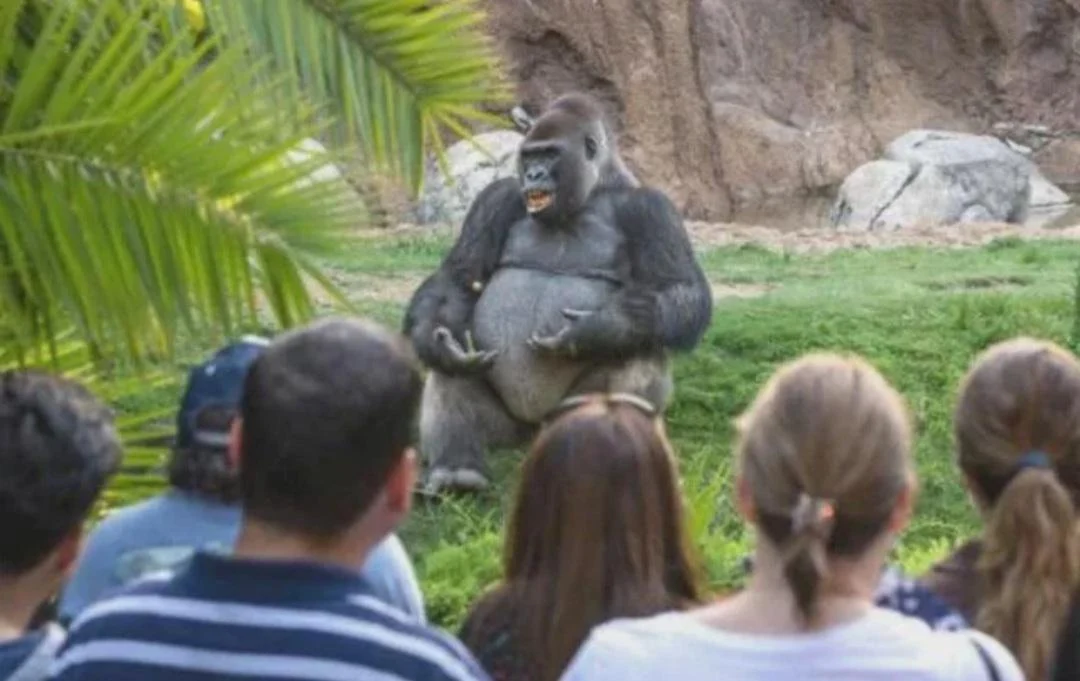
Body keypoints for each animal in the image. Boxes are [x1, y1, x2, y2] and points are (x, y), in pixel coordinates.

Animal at [403, 92, 713, 493]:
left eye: (550, 155)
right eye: (529, 156)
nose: (534, 174)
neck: (596, 188)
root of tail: (531, 435)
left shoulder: (653, 208)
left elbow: (680, 291)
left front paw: (601, 327)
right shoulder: (496, 197)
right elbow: (458, 278)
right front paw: (433, 340)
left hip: (561, 423)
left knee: (641, 349)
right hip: (508, 433)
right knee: (453, 368)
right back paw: (457, 471)